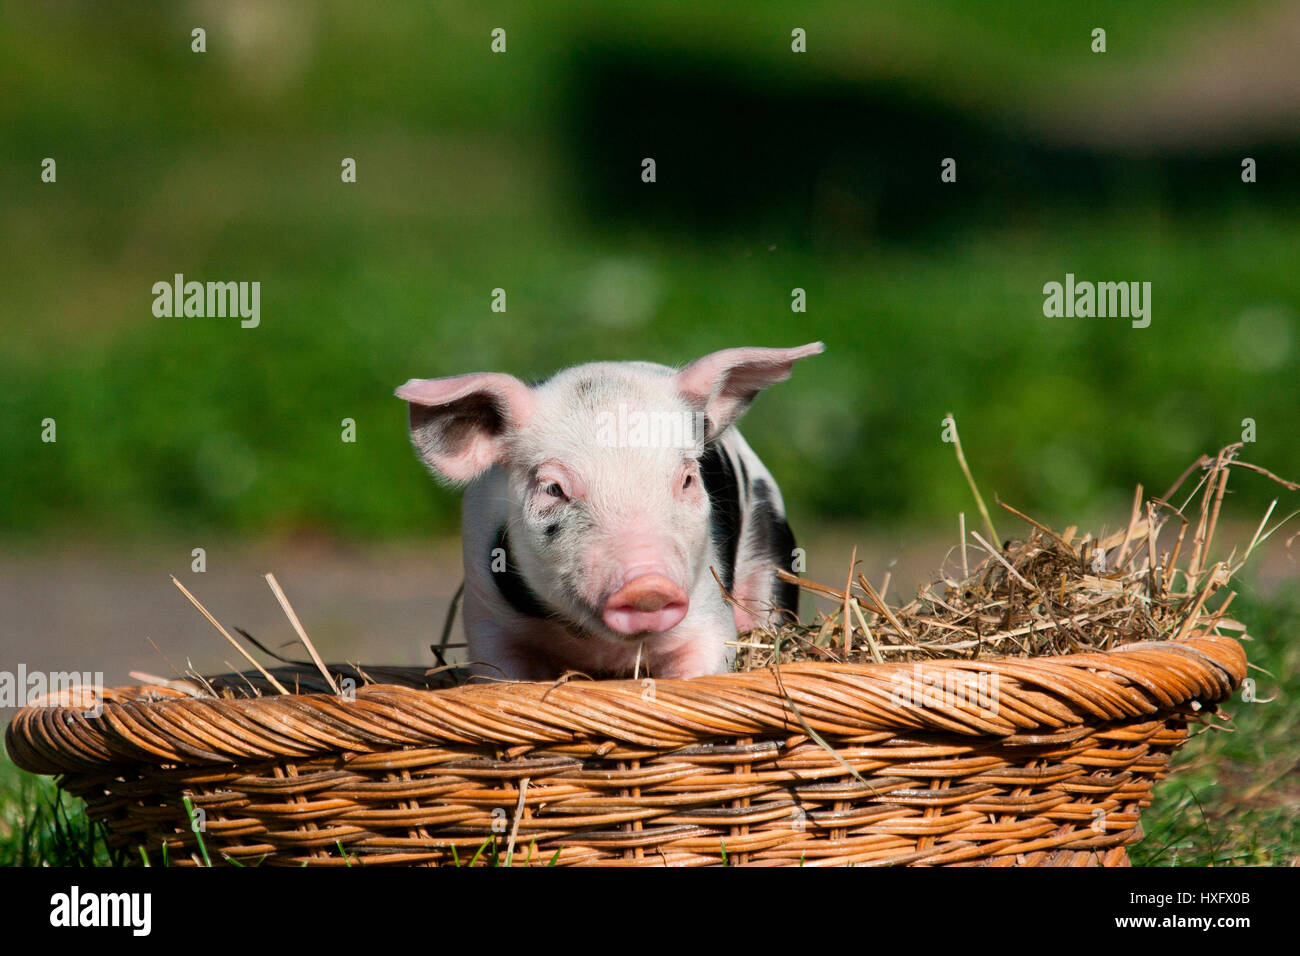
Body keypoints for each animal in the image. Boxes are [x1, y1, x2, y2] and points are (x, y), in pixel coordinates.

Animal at [396, 342, 824, 681]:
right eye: (554, 488)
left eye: (687, 478)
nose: (648, 584)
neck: (601, 648)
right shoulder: (488, 620)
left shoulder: (707, 609)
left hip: (770, 549)